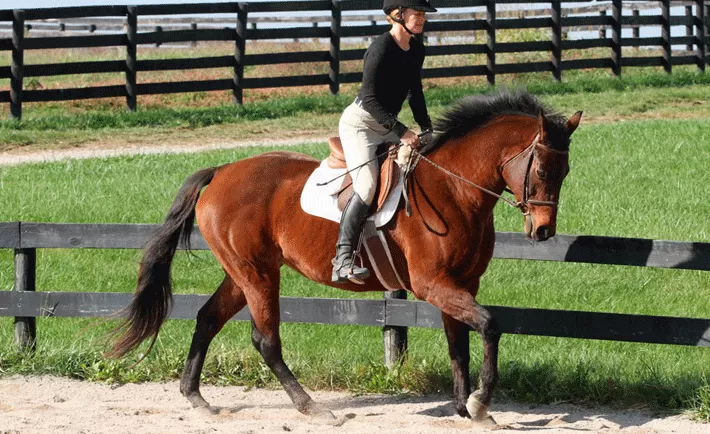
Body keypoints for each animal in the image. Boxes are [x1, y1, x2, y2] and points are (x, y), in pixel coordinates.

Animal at [108, 90, 580, 426]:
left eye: (566, 172)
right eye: (542, 170)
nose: (543, 231)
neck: (455, 188)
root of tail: (222, 171)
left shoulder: (461, 283)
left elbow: (459, 345)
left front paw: (467, 408)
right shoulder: (432, 284)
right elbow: (489, 324)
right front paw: (481, 403)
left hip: (244, 272)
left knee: (207, 317)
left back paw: (196, 397)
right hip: (257, 274)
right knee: (265, 340)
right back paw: (312, 408)